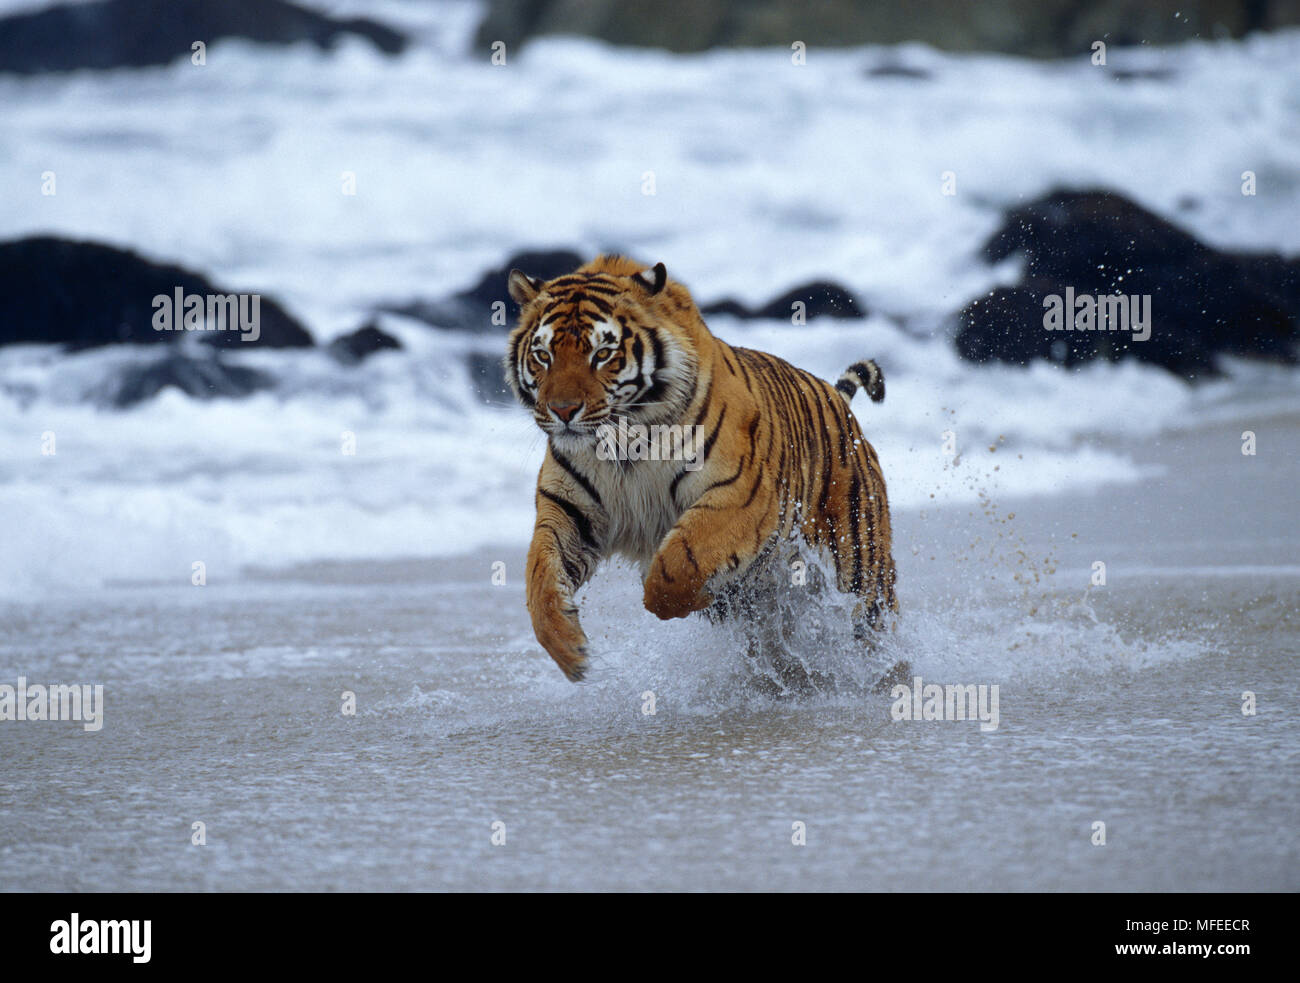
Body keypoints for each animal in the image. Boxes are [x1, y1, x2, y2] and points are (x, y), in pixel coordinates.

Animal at [504, 254, 898, 683]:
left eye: (602, 354)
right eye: (544, 356)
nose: (562, 411)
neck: (621, 443)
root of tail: (835, 397)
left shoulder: (741, 496)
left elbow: (675, 566)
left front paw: (680, 591)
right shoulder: (568, 511)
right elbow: (540, 578)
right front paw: (570, 651)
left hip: (860, 567)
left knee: (875, 631)